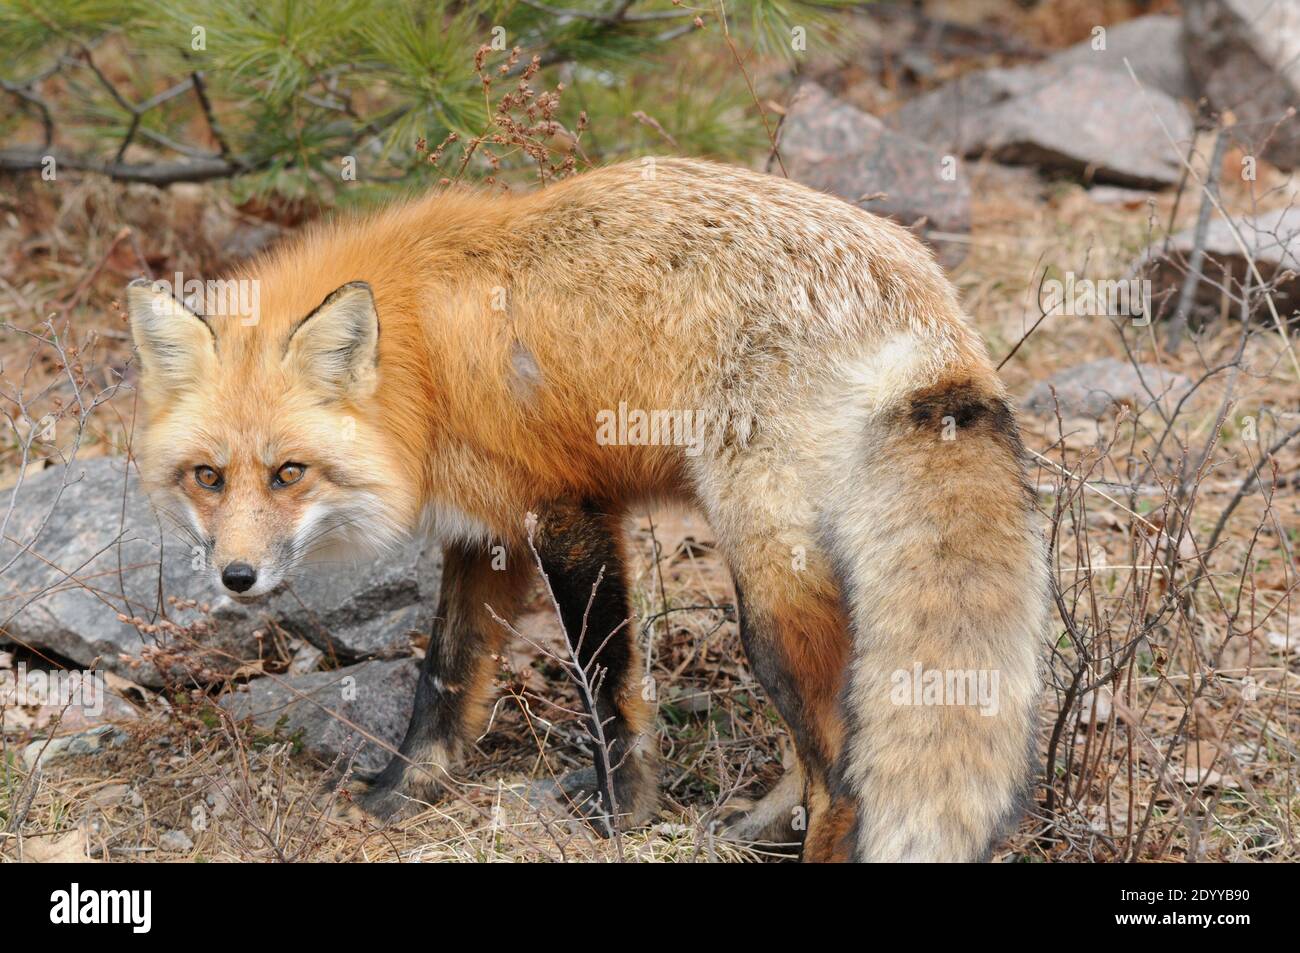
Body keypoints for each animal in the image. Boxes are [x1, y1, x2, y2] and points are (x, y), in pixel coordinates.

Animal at [126, 157, 1048, 862]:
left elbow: (607, 685)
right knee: (837, 742)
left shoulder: (567, 511)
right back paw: (755, 824)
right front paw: (399, 796)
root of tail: (930, 303)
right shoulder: (486, 530)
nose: (237, 577)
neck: (424, 361)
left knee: (845, 774)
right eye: (208, 476)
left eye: (289, 472)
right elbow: (445, 677)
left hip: (764, 586)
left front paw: (622, 812)